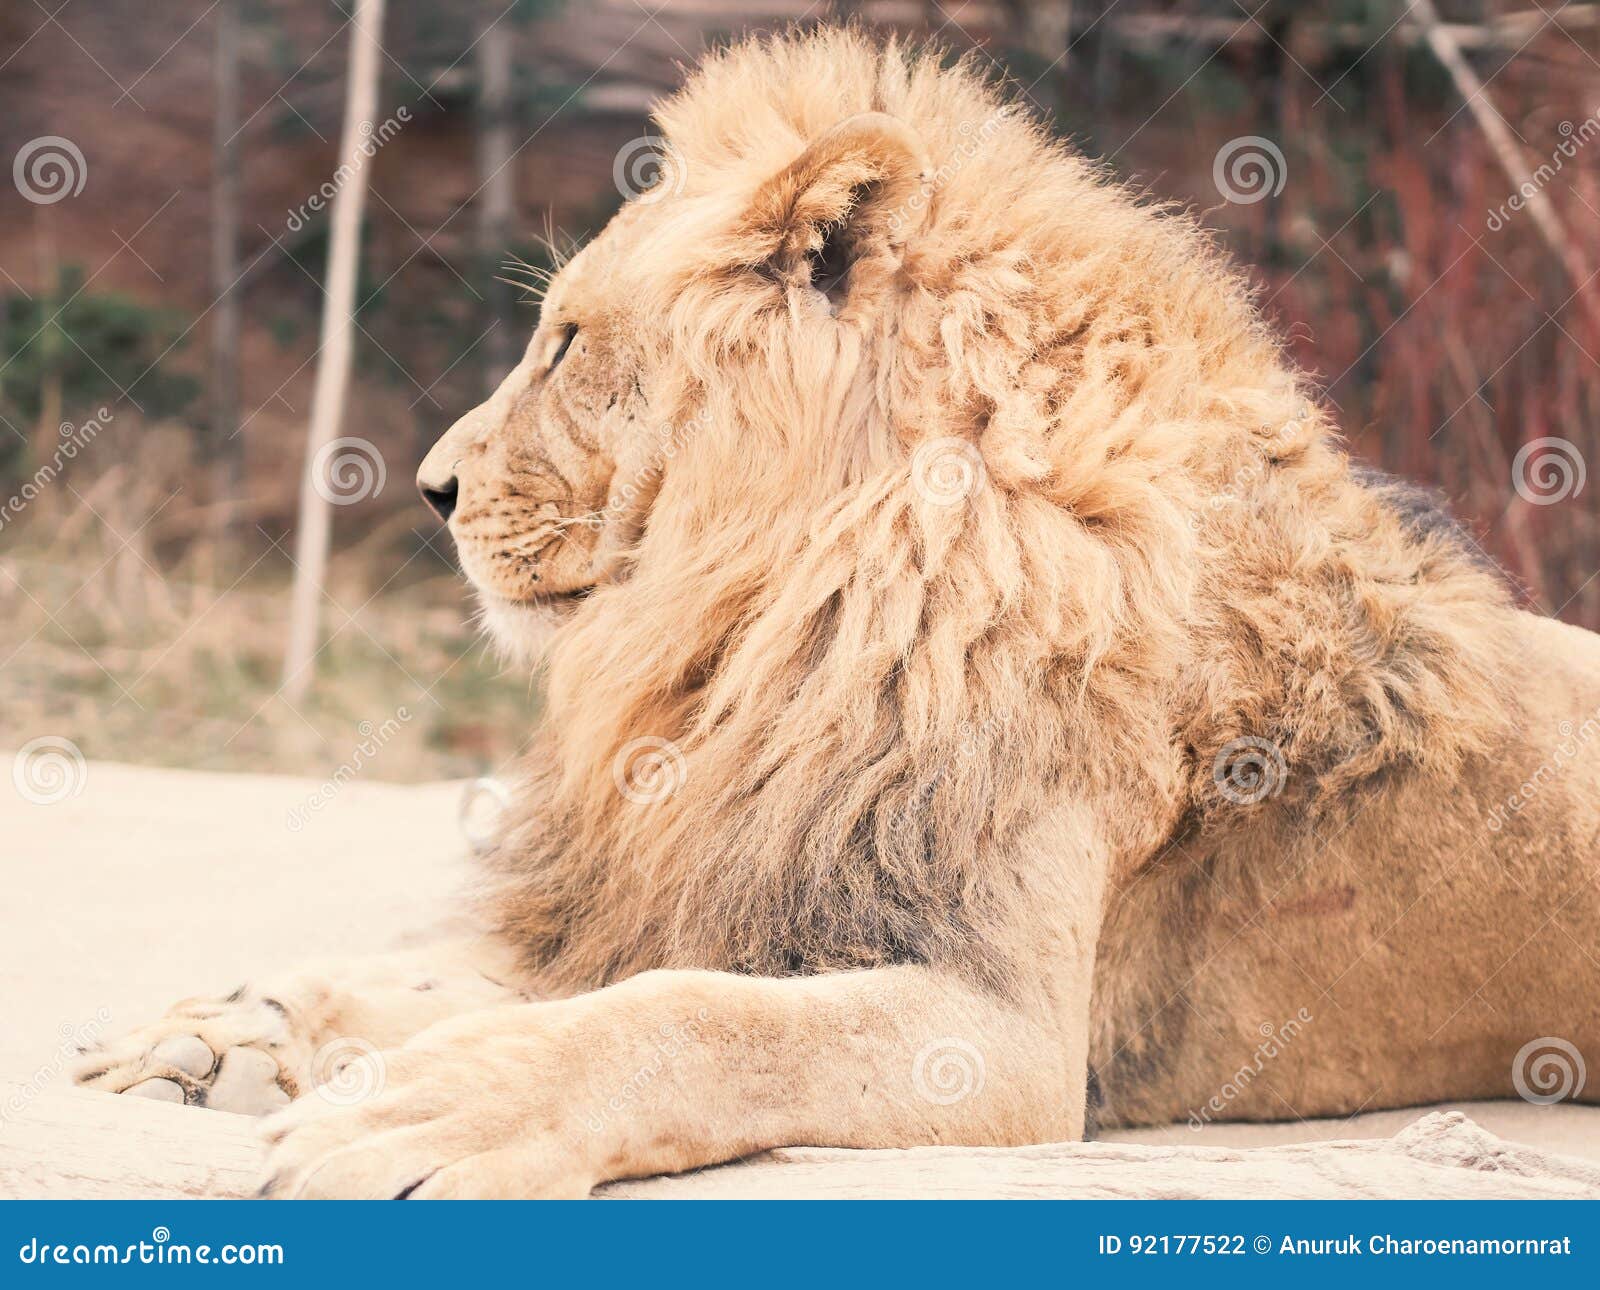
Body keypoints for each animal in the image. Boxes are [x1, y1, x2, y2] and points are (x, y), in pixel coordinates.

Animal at [77, 27, 1599, 1196]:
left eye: (566, 343)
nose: (434, 487)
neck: (784, 615)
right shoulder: (721, 863)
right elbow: (467, 977)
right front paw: (228, 1034)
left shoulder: (1002, 1031)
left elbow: (682, 1021)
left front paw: (425, 1107)